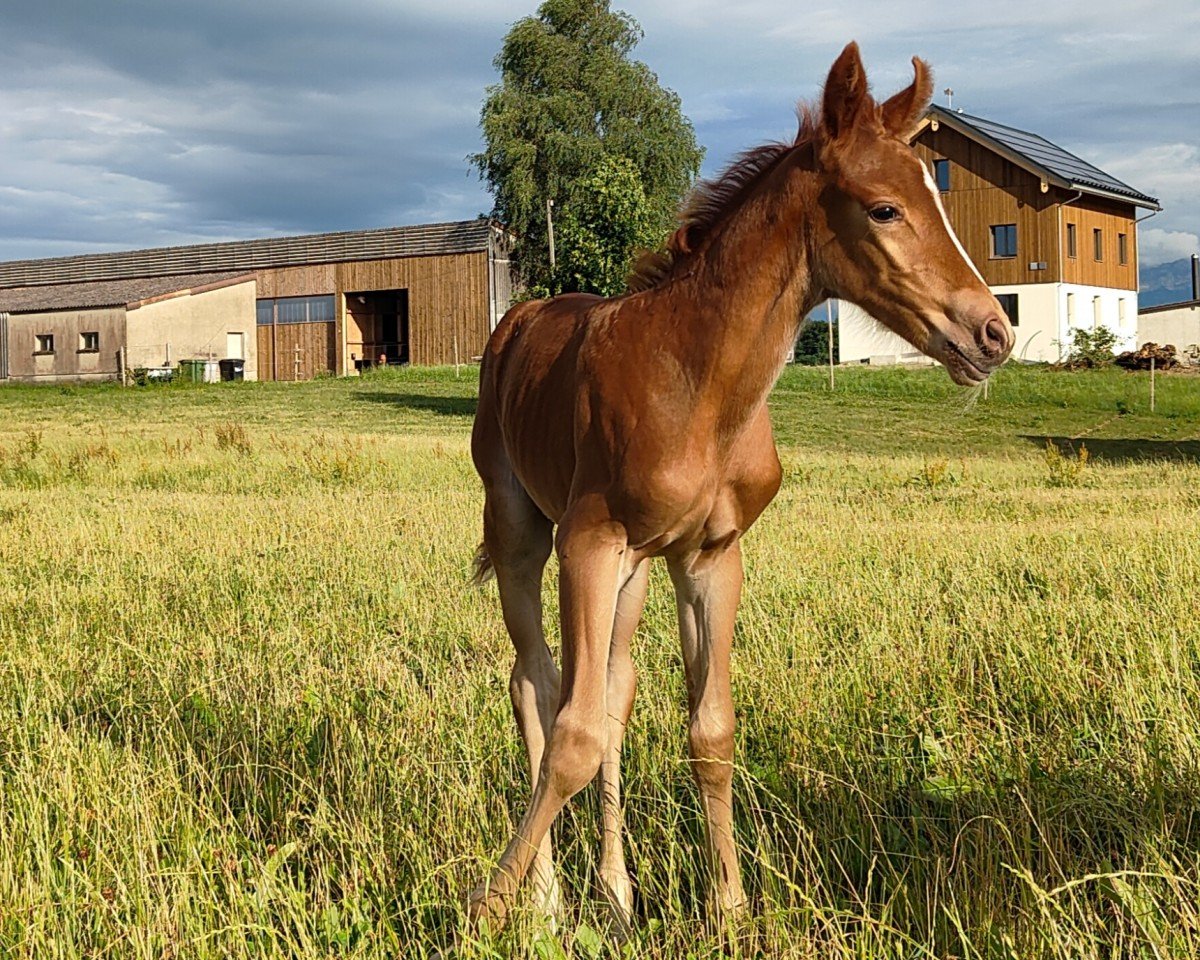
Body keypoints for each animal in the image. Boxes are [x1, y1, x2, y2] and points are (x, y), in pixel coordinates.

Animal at [467, 41, 1013, 933]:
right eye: (883, 209)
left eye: (936, 189)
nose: (992, 331)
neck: (701, 385)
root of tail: (519, 318)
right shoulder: (589, 540)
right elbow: (571, 732)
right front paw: (487, 904)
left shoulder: (710, 557)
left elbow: (707, 732)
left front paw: (729, 907)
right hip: (523, 528)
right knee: (534, 684)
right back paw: (545, 900)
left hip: (635, 571)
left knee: (612, 692)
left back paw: (615, 892)